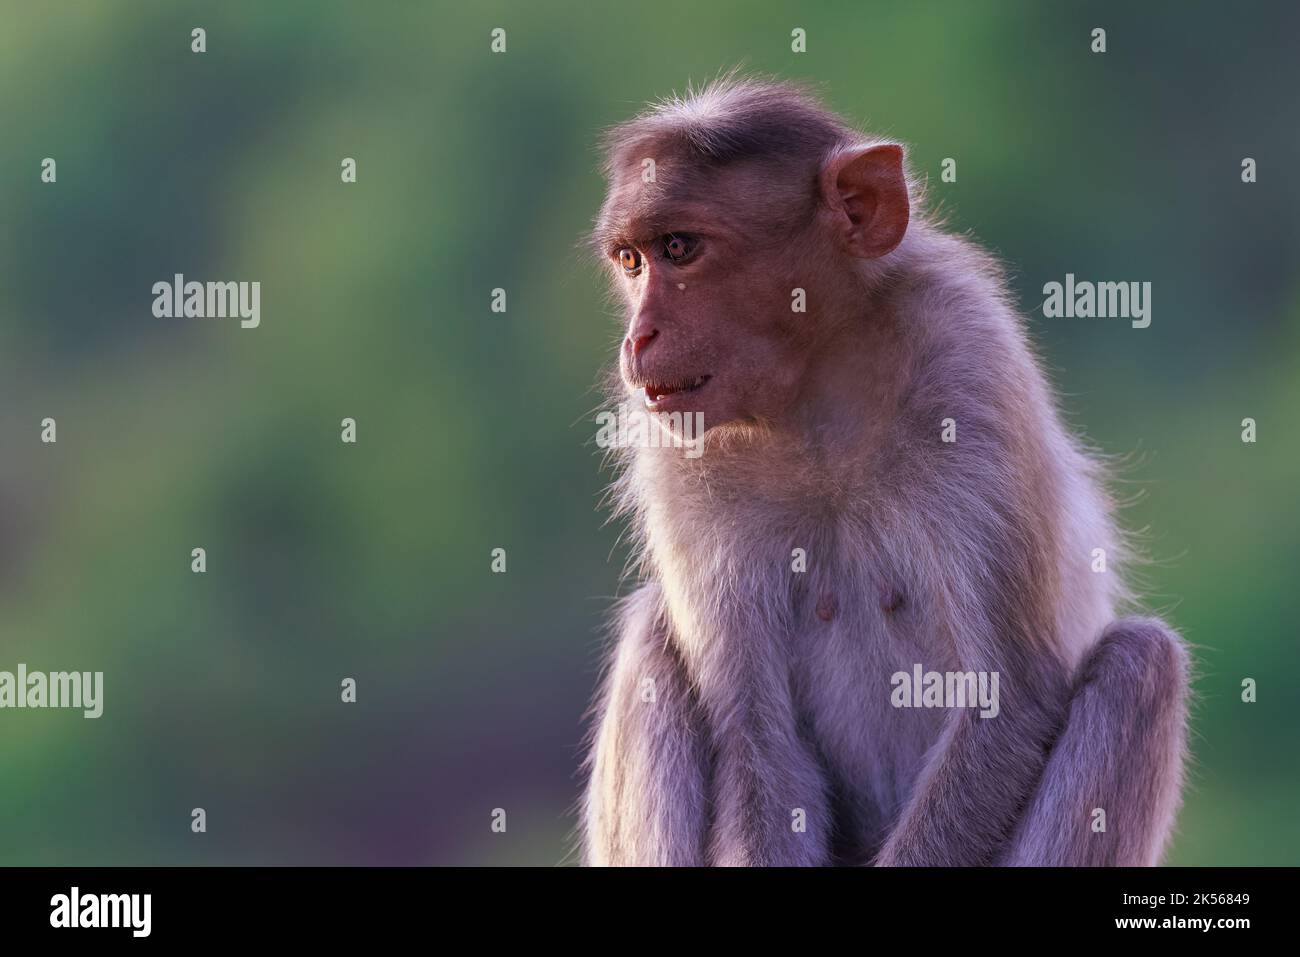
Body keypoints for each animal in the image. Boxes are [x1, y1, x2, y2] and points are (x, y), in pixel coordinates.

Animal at [580, 75, 1190, 867]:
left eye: (679, 249)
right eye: (631, 260)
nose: (638, 337)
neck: (818, 396)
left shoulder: (968, 353)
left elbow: (1005, 702)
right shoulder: (676, 453)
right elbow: (756, 740)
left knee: (1140, 662)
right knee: (656, 634)